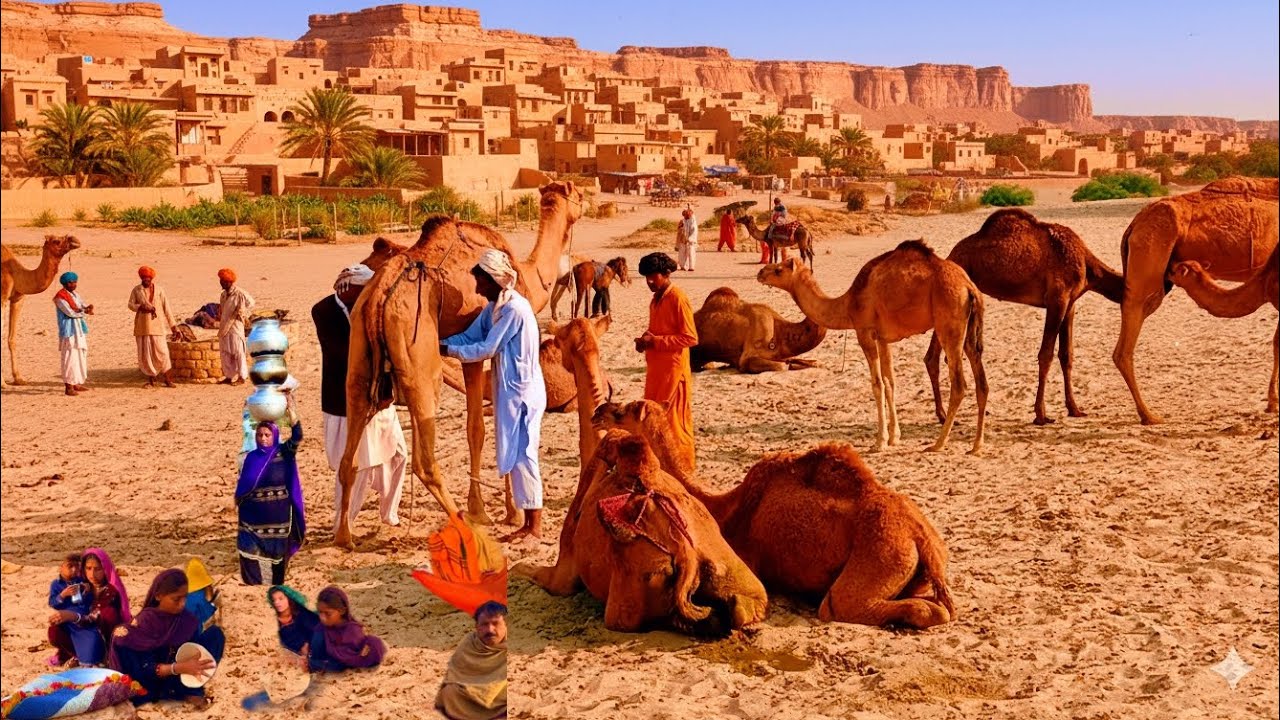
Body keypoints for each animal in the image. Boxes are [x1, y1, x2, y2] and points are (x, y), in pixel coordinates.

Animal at [2, 235, 82, 385]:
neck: (15, 274)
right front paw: (2, 383)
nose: (75, 239)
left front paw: (19, 378)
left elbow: (12, 339)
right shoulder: (2, 299)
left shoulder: (17, 300)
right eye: (56, 241)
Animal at [335, 181, 582, 549]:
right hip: (421, 365)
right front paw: (497, 511)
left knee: (348, 454)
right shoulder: (484, 349)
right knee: (424, 459)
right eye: (577, 194)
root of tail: (378, 298)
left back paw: (344, 535)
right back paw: (463, 524)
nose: (587, 200)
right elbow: (481, 429)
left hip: (360, 359)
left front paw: (496, 508)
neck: (525, 276)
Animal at [594, 399, 955, 629]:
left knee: (843, 604)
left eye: (622, 412)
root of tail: (921, 538)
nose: (598, 412)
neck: (727, 504)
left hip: (880, 553)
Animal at [758, 246, 988, 454]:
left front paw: (880, 442)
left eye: (778, 269)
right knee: (982, 382)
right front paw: (895, 437)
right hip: (969, 328)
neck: (847, 304)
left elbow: (877, 384)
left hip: (949, 325)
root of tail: (969, 287)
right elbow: (890, 382)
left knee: (959, 385)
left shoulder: (865, 332)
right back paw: (976, 446)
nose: (760, 273)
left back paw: (938, 444)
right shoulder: (883, 338)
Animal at [925, 209, 1125, 425]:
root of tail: (950, 256)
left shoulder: (1070, 303)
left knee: (936, 357)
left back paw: (948, 414)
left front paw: (1074, 409)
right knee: (935, 357)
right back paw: (944, 415)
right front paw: (1041, 415)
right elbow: (1046, 355)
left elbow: (1066, 355)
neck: (1088, 266)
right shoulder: (1057, 299)